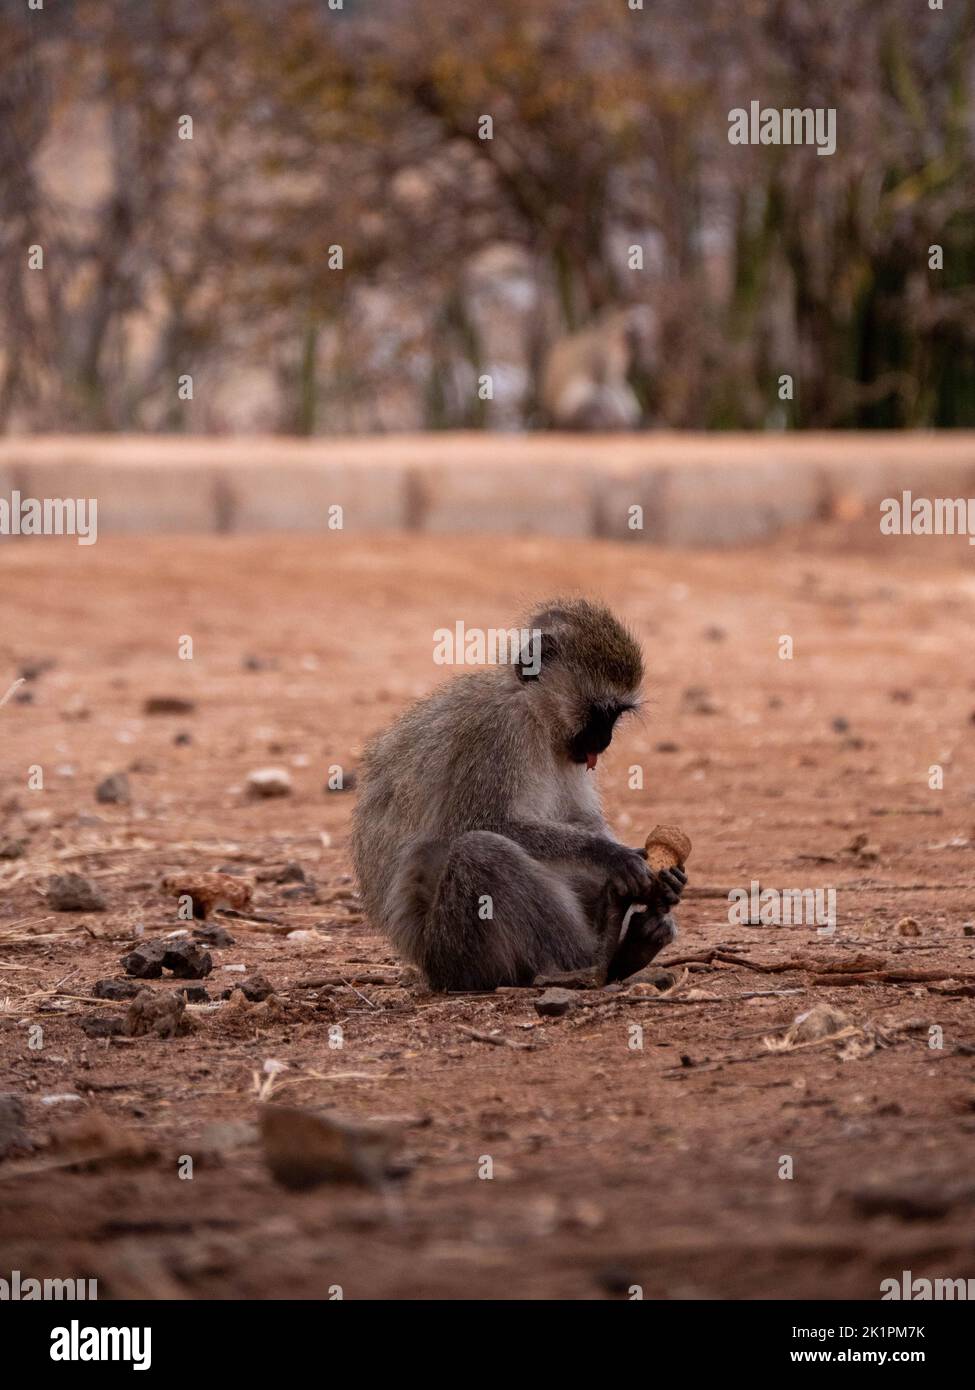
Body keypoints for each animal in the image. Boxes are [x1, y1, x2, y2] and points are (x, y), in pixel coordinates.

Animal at [351, 599, 686, 991]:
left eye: (616, 715)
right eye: (600, 711)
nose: (604, 742)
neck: (533, 712)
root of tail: (429, 969)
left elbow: (578, 817)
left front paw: (664, 876)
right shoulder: (497, 730)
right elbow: (481, 823)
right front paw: (611, 855)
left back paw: (635, 940)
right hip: (456, 951)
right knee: (481, 851)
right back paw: (598, 960)